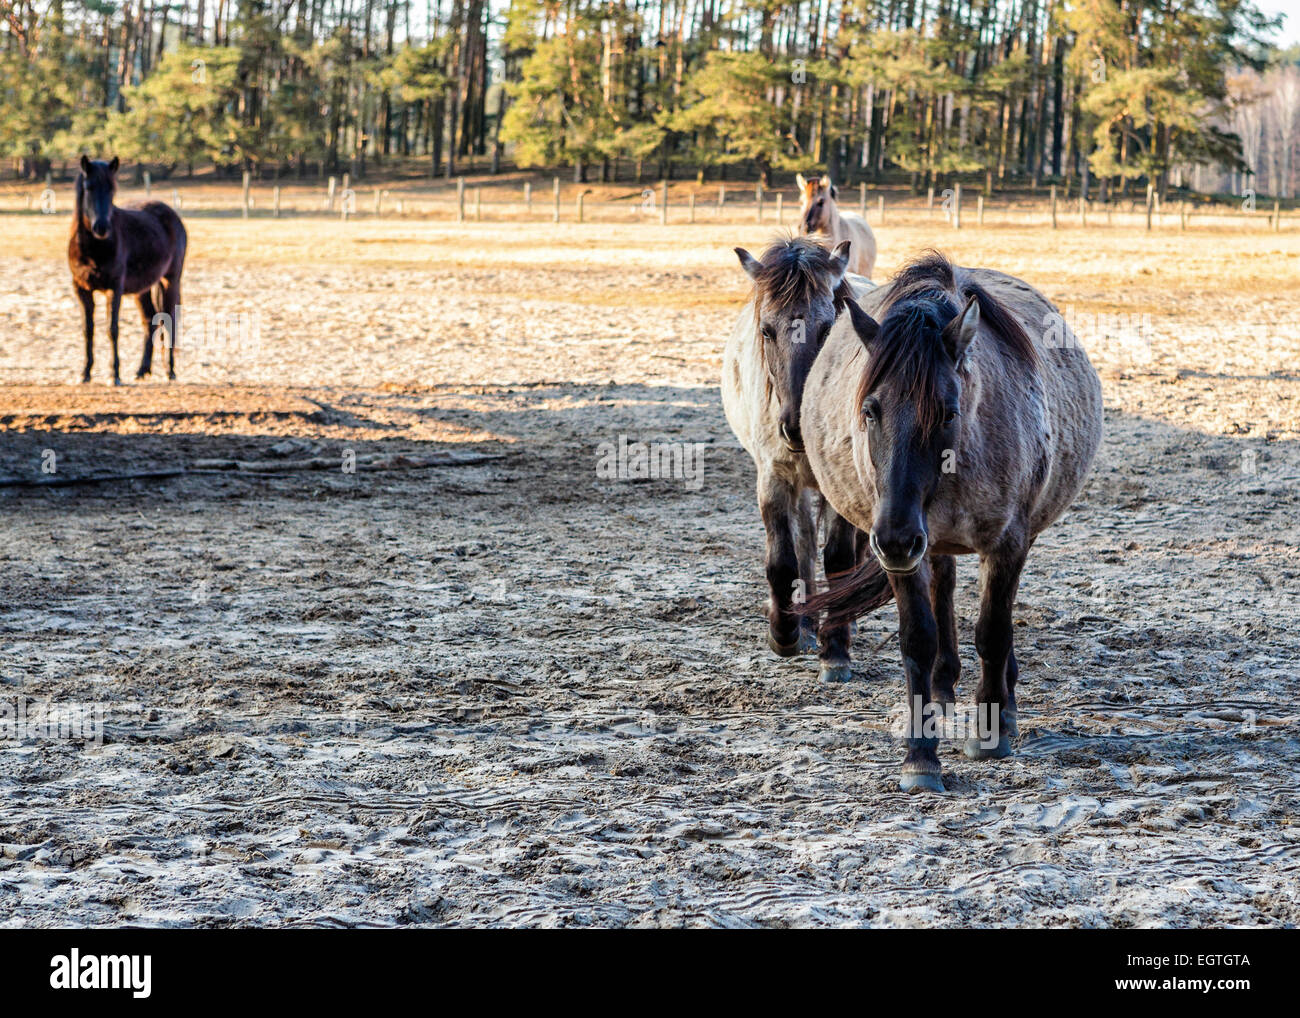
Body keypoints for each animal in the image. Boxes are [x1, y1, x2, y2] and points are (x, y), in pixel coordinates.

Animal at [68, 156, 188, 385]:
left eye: (112, 189)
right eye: (89, 187)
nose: (101, 227)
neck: (93, 249)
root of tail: (172, 215)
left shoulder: (114, 288)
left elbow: (112, 329)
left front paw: (115, 374)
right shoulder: (81, 289)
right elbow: (87, 329)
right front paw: (85, 372)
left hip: (171, 280)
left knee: (169, 320)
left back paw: (170, 370)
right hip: (143, 289)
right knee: (149, 320)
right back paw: (142, 370)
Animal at [722, 236, 876, 683]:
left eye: (827, 329)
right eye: (766, 330)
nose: (795, 428)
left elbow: (840, 558)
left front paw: (836, 651)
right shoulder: (773, 477)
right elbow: (782, 560)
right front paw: (785, 634)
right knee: (805, 541)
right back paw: (805, 623)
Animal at [798, 252, 1102, 792]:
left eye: (947, 411)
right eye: (870, 410)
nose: (896, 537)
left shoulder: (1007, 542)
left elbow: (993, 631)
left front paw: (991, 731)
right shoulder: (903, 554)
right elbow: (919, 638)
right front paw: (920, 757)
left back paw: (1004, 705)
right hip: (927, 543)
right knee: (942, 586)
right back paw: (943, 689)